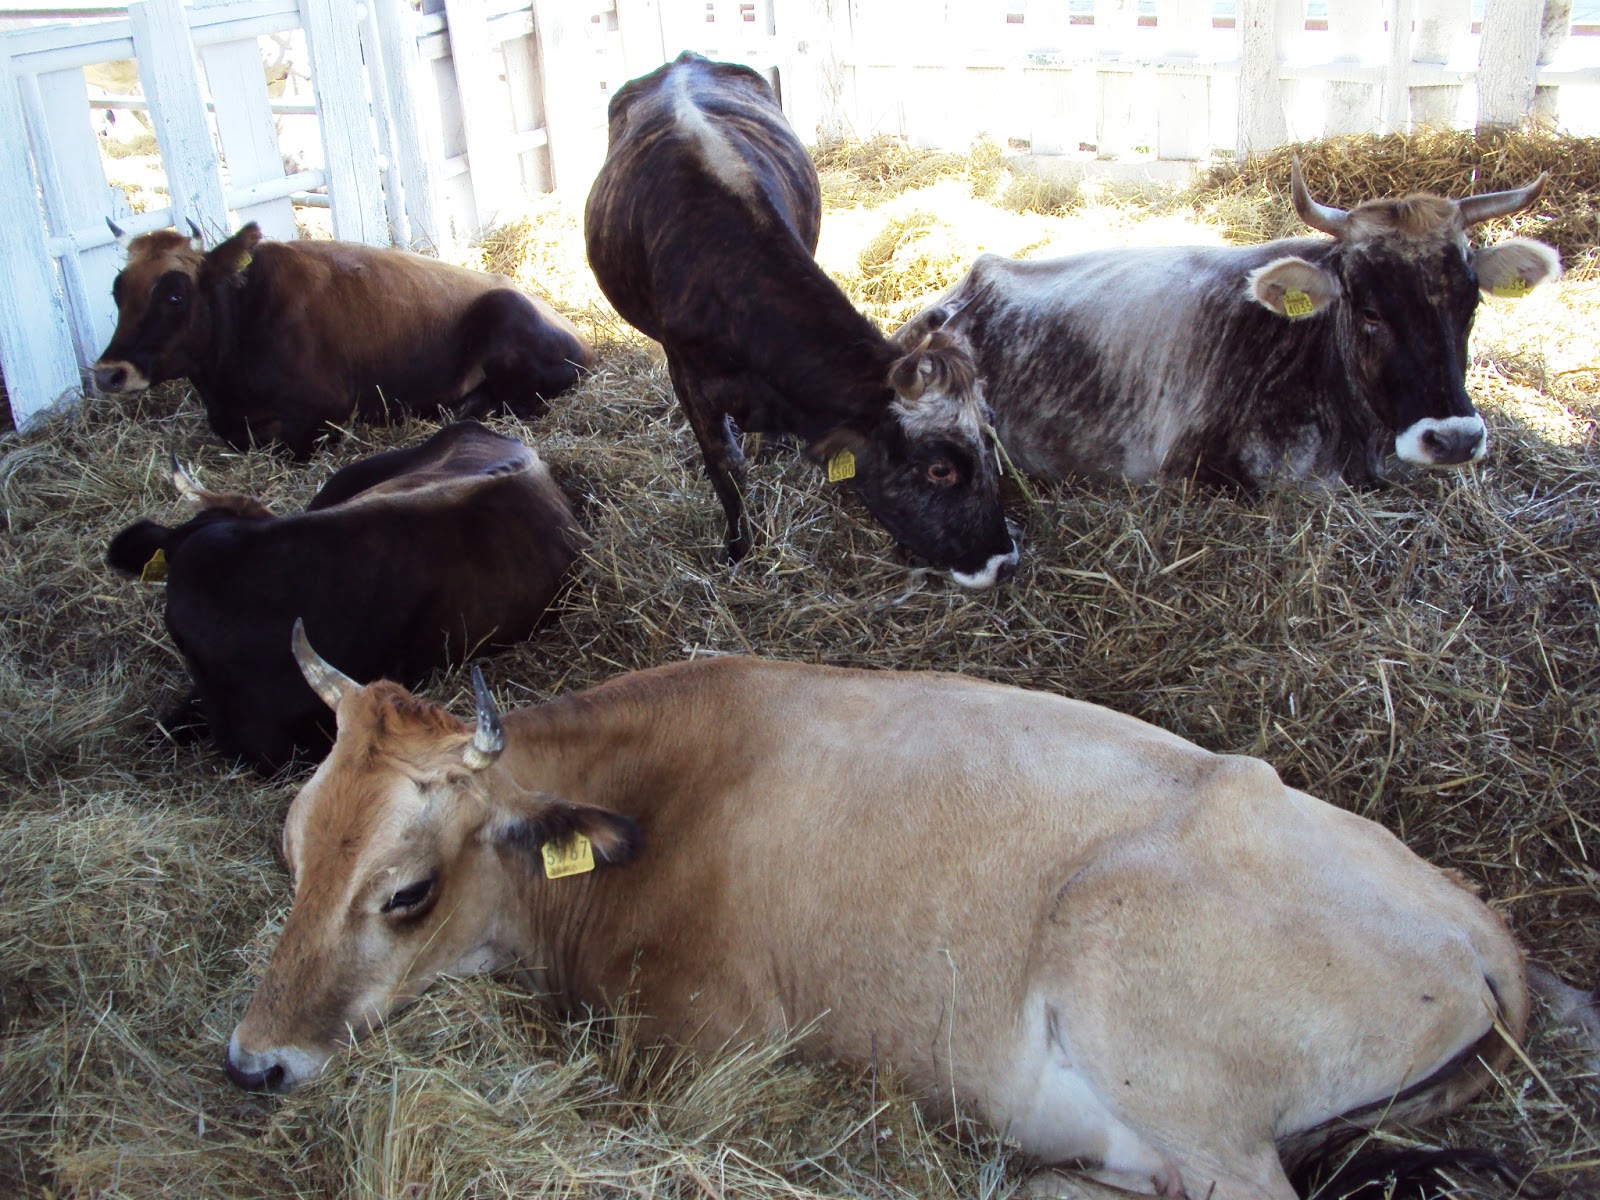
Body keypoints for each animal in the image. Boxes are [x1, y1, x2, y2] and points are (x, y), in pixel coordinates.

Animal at [93, 222, 594, 459]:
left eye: (175, 295)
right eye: (117, 290)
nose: (108, 373)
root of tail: (583, 339)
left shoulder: (325, 411)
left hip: (503, 315)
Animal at [223, 645, 1597, 1199]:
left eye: (406, 894)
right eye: (290, 847)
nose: (253, 1061)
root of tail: (1482, 932)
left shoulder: (708, 1048)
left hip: (1155, 1032)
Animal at [584, 52, 1018, 588]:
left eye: (990, 439)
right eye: (939, 469)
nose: (1004, 562)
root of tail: (685, 60)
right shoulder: (685, 375)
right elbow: (726, 465)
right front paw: (738, 550)